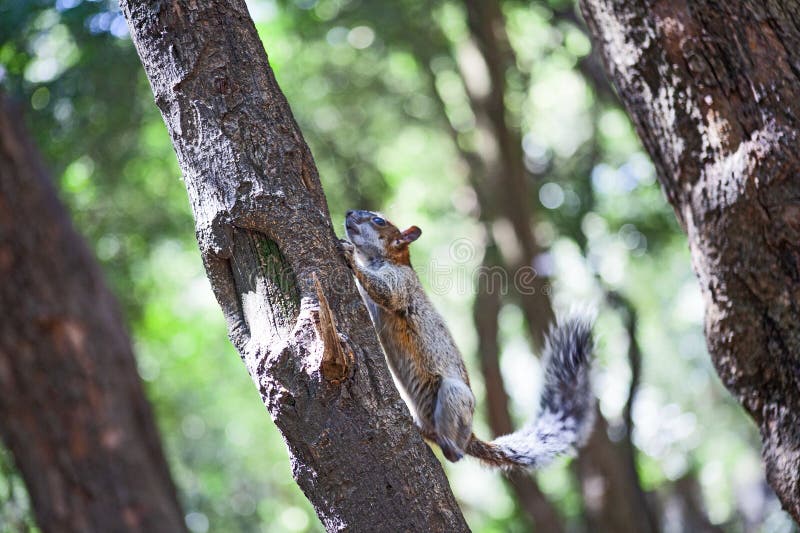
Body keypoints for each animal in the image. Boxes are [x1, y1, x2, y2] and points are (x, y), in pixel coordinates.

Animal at [338, 209, 595, 469]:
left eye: (378, 221)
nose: (348, 213)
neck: (384, 260)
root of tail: (469, 436)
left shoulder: (402, 282)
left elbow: (387, 293)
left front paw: (349, 253)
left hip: (455, 396)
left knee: (456, 452)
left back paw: (448, 445)